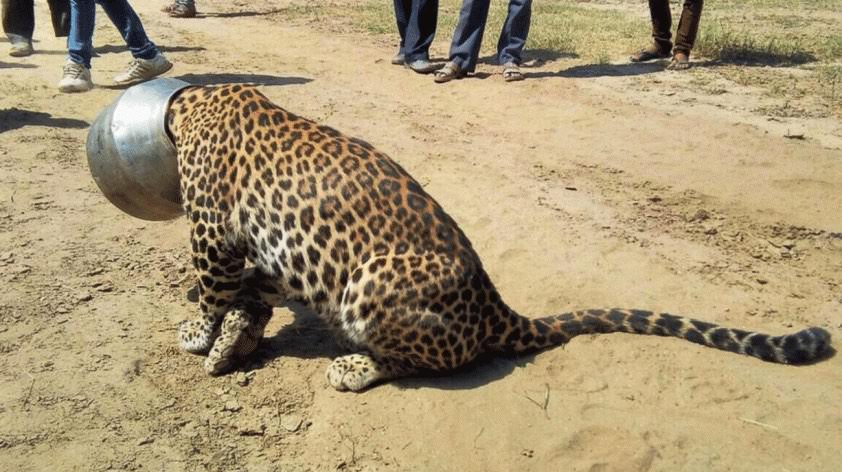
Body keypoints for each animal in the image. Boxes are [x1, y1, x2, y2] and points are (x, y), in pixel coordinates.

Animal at [164, 84, 831, 392]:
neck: (198, 100)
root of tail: (493, 304)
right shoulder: (268, 253)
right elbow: (251, 291)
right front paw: (234, 338)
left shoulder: (210, 232)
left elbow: (211, 288)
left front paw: (199, 333)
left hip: (372, 281)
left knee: (428, 361)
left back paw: (353, 366)